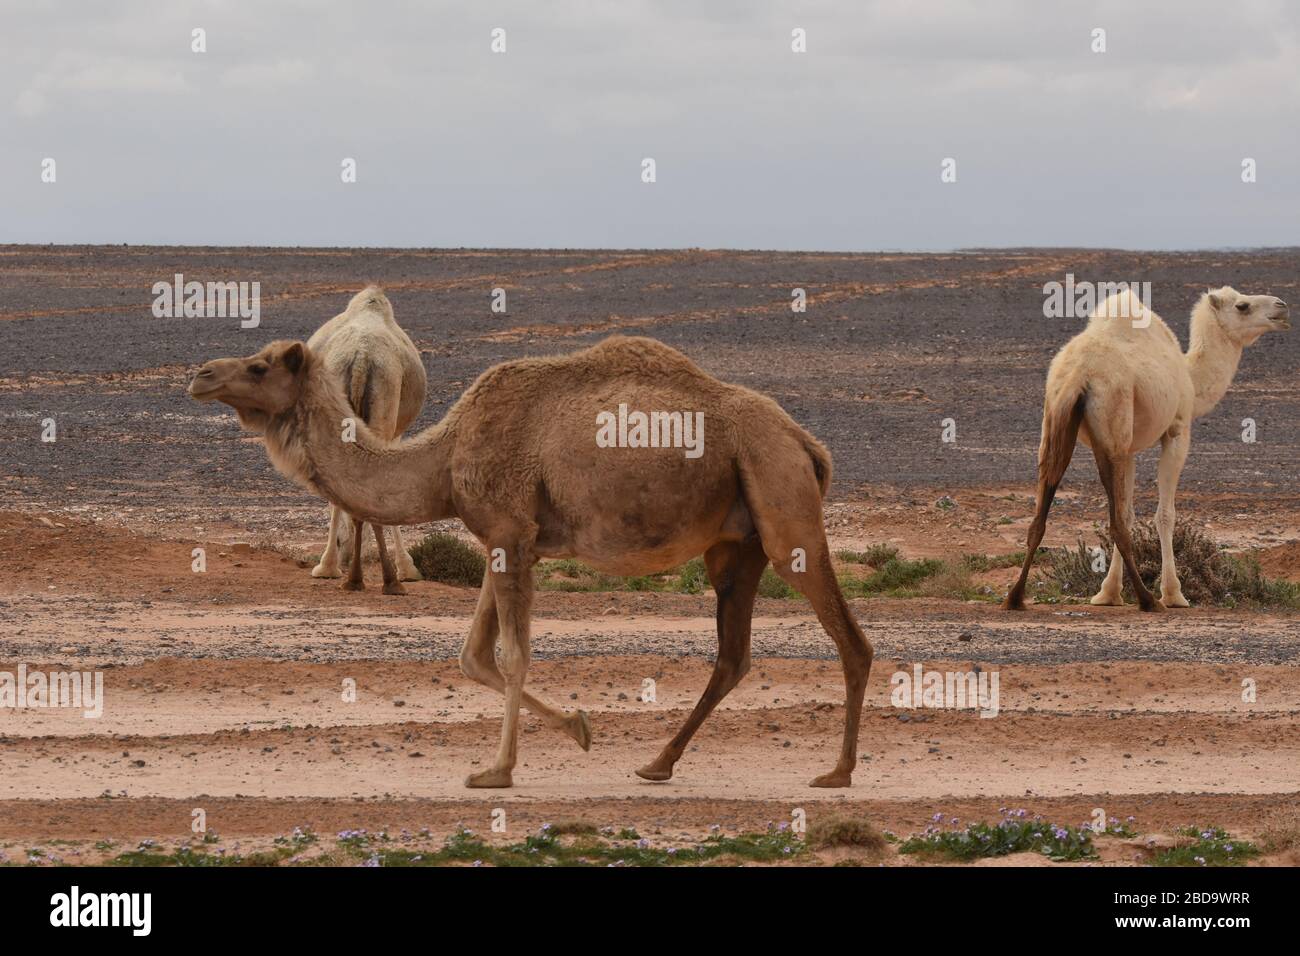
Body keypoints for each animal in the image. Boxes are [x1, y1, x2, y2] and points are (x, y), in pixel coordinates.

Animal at [188, 303, 873, 789]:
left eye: (260, 365)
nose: (200, 374)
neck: (443, 459)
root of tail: (806, 443)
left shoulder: (511, 536)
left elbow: (514, 655)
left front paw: (497, 770)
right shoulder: (507, 537)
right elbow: (473, 657)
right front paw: (579, 728)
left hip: (782, 503)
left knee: (851, 640)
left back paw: (837, 772)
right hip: (735, 543)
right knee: (733, 655)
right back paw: (658, 763)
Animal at [1005, 286, 1289, 612]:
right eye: (1243, 306)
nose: (1282, 307)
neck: (1191, 378)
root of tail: (1079, 374)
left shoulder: (1129, 449)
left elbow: (1128, 513)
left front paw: (1108, 593)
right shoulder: (1177, 431)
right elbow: (1163, 514)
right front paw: (1173, 594)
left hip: (1055, 423)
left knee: (1043, 510)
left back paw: (1015, 597)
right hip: (1112, 425)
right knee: (1115, 521)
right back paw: (1148, 599)